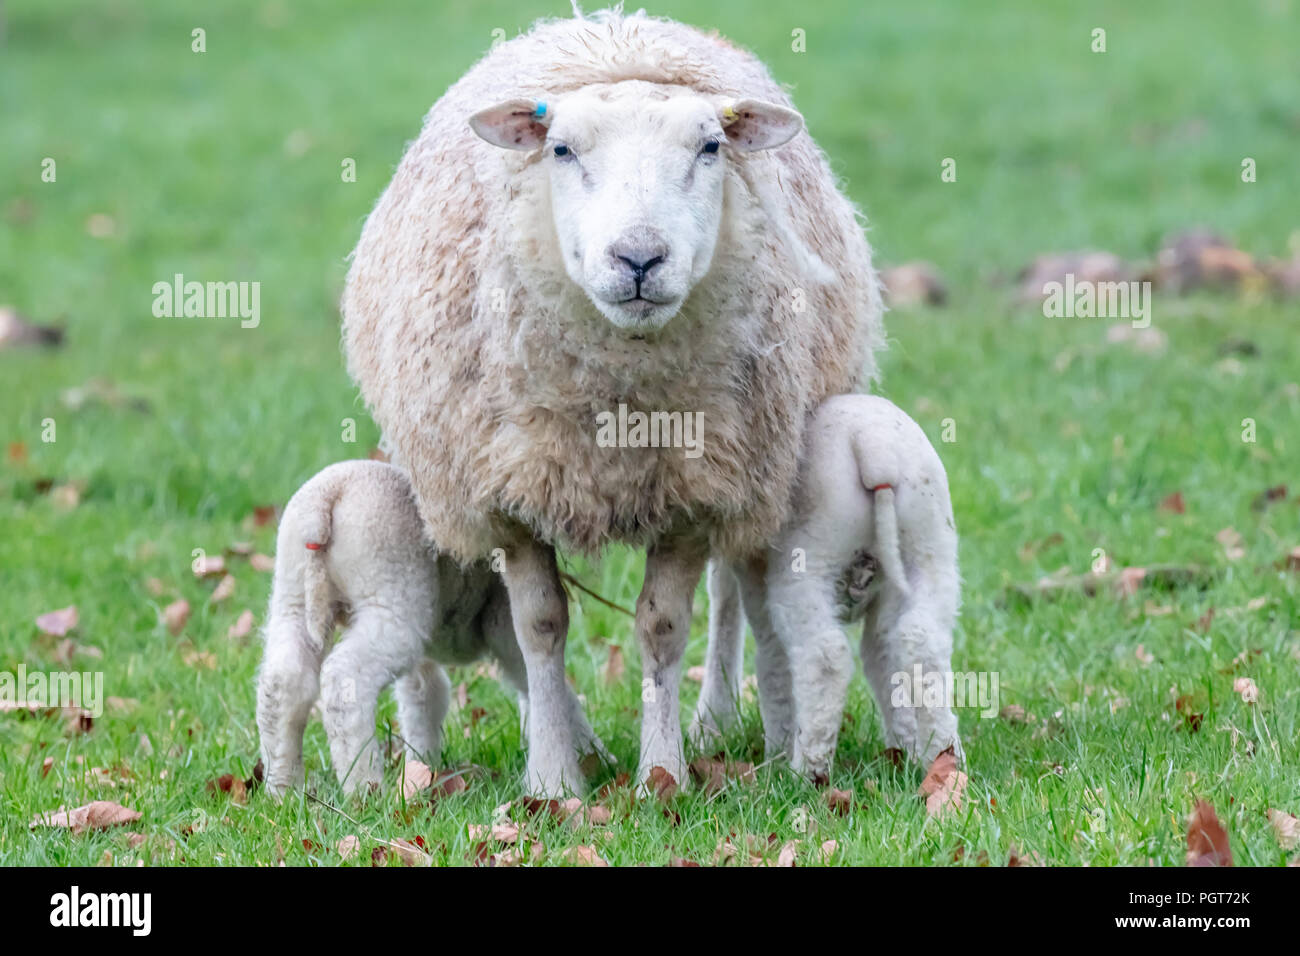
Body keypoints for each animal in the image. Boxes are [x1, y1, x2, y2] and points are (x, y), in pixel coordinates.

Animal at [255, 460, 607, 798]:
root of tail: (327, 499)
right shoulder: (502, 625)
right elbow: (538, 681)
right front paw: (590, 754)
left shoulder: (428, 654)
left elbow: (424, 697)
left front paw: (423, 767)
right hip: (392, 599)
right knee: (345, 679)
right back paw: (364, 789)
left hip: (292, 593)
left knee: (283, 682)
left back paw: (283, 789)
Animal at [341, 7, 883, 795]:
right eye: (561, 149)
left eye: (710, 147)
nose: (639, 258)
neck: (617, 409)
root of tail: (616, 22)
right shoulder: (511, 490)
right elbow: (539, 626)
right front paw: (553, 779)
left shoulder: (696, 488)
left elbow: (663, 626)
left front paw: (663, 774)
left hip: (755, 463)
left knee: (728, 592)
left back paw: (714, 719)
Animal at [692, 395, 964, 782]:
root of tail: (874, 445)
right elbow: (882, 660)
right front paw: (904, 747)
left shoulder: (757, 582)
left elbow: (772, 662)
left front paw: (777, 753)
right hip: (930, 542)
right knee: (920, 643)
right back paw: (942, 759)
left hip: (809, 559)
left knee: (825, 656)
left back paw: (806, 772)